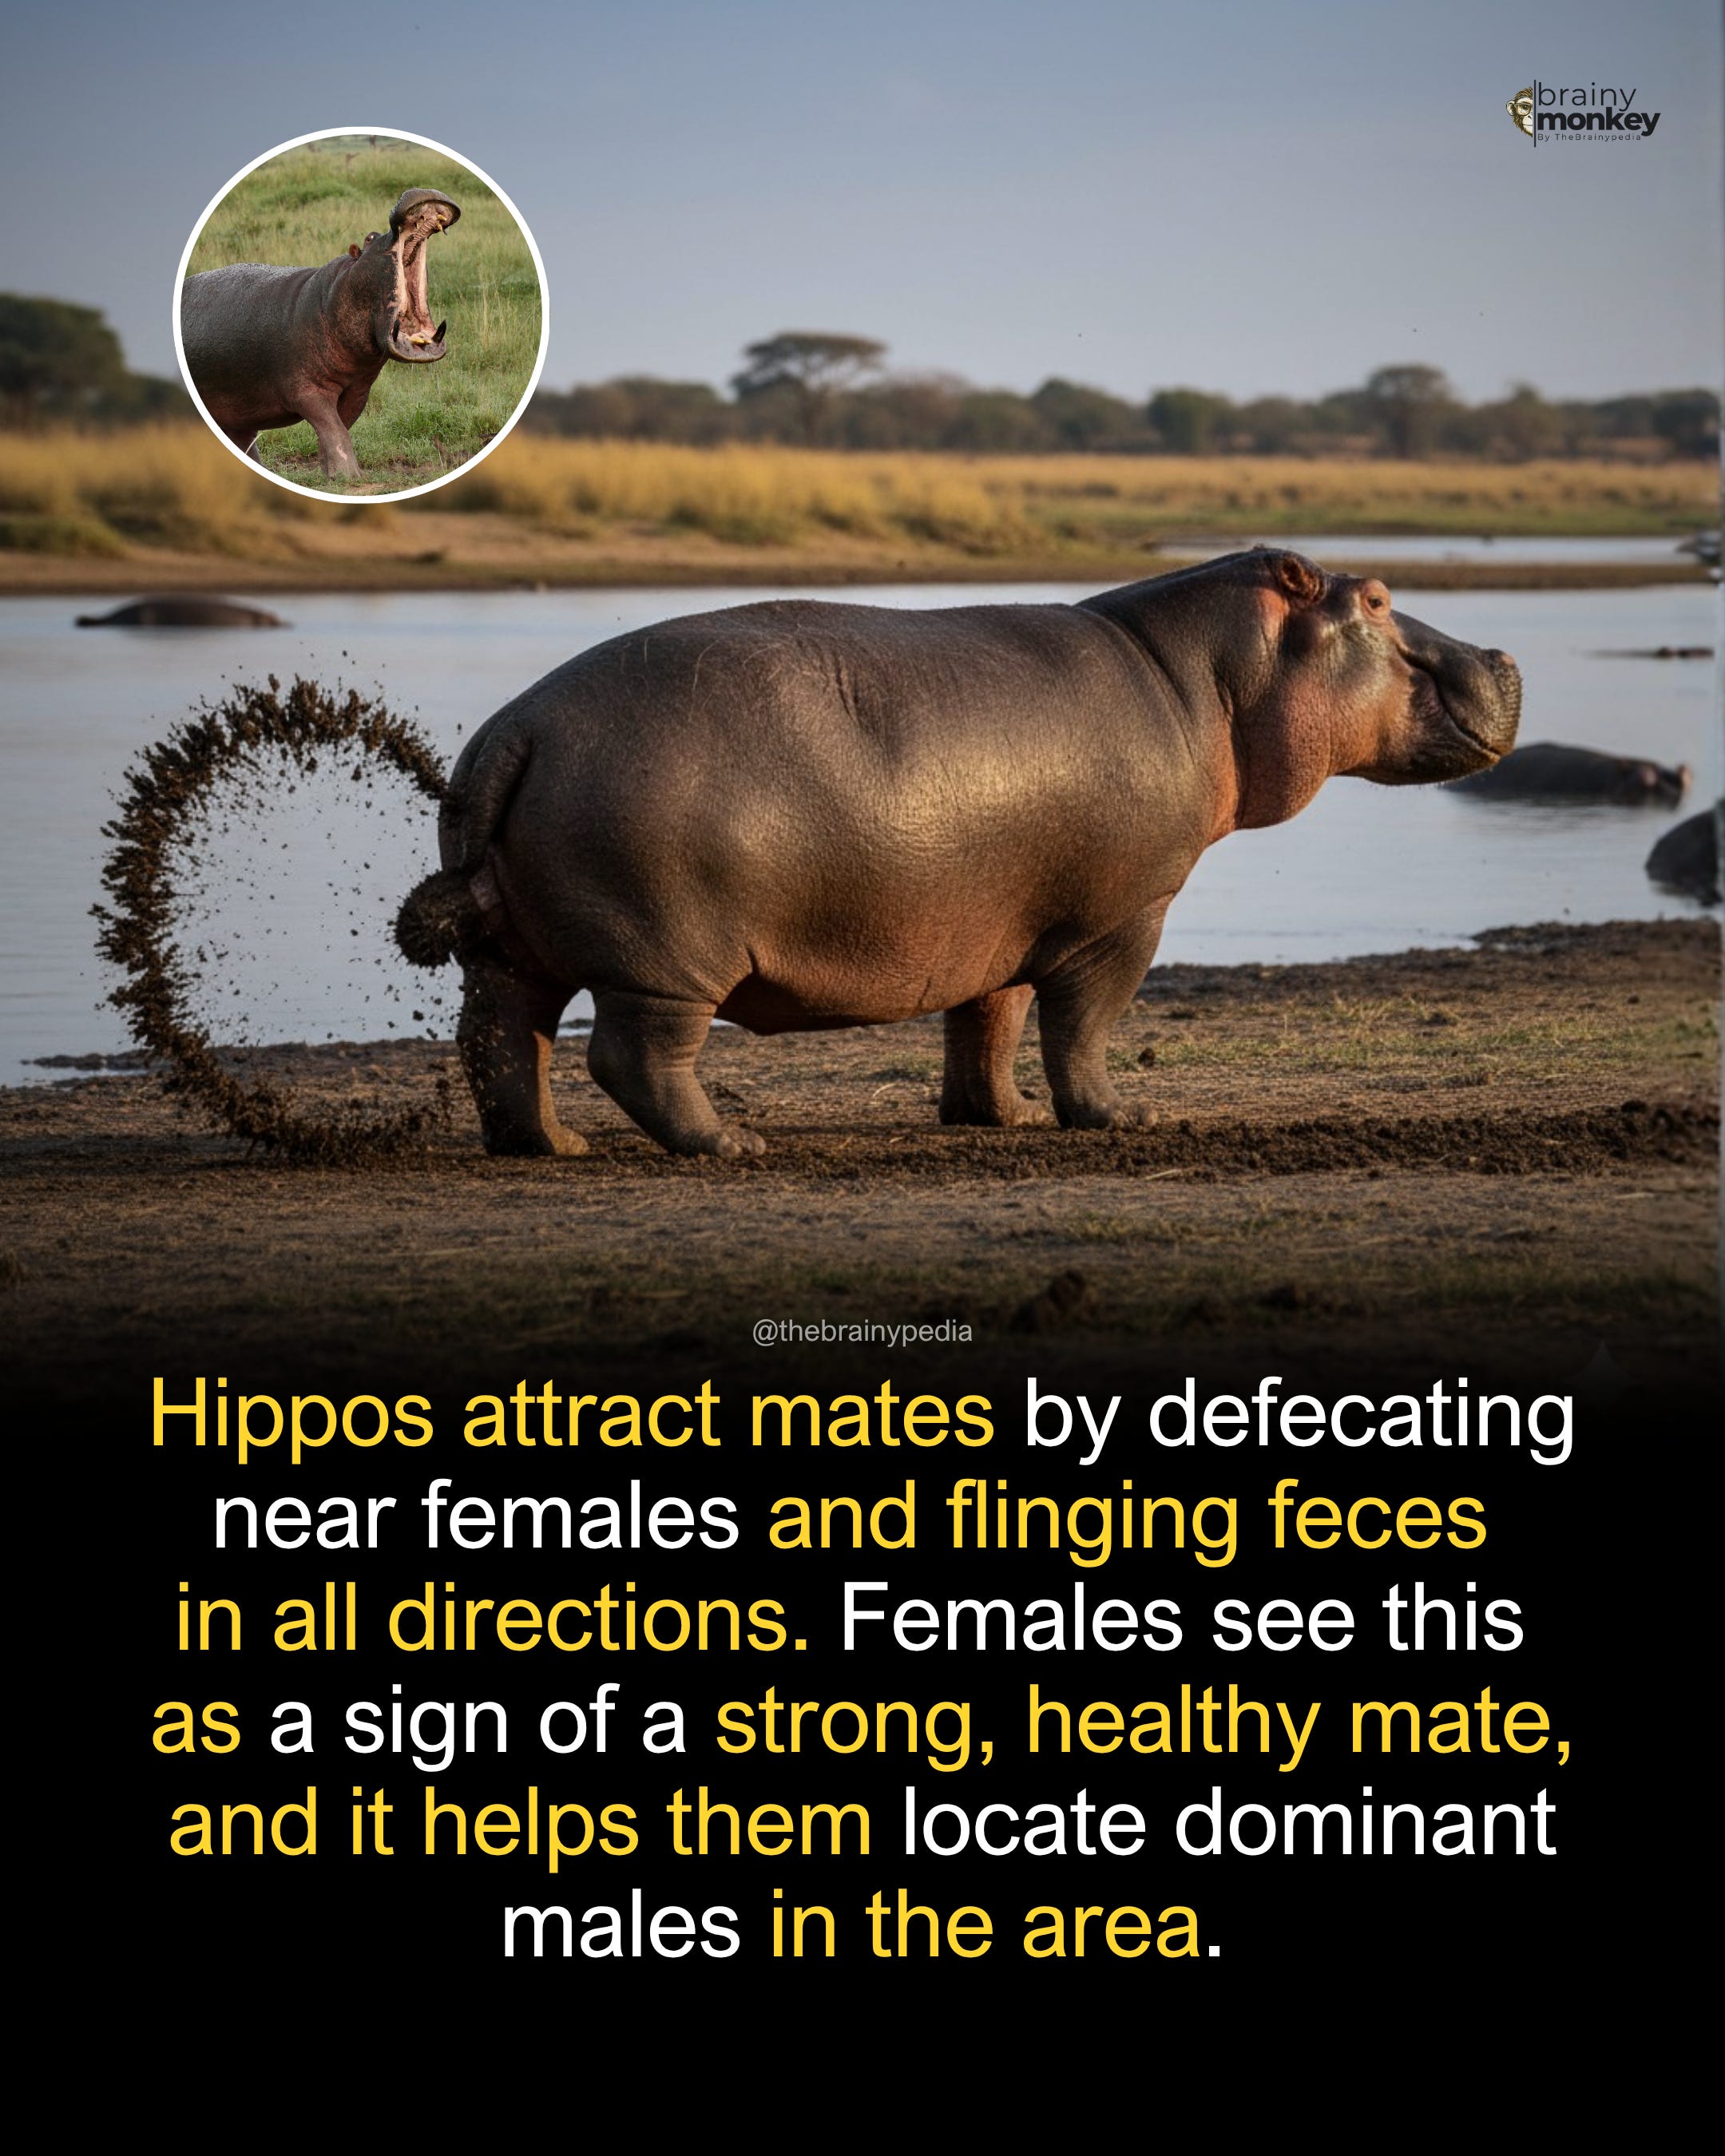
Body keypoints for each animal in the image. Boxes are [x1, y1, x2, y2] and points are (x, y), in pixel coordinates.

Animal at [180, 188, 460, 479]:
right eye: (369, 237)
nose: (421, 190)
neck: (331, 298)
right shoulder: (308, 391)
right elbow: (334, 430)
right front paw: (350, 477)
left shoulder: (359, 390)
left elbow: (336, 430)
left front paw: (333, 476)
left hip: (239, 413)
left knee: (244, 442)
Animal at [394, 549, 1522, 1158]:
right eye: (1374, 599)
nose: (1505, 653)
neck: (1206, 673)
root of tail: (515, 731)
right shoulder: (1121, 919)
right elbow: (1083, 1028)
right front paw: (1124, 1117)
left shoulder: (1006, 919)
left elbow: (989, 1022)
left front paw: (1004, 1122)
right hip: (665, 960)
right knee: (634, 1055)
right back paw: (731, 1143)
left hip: (513, 951)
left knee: (502, 1039)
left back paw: (552, 1144)